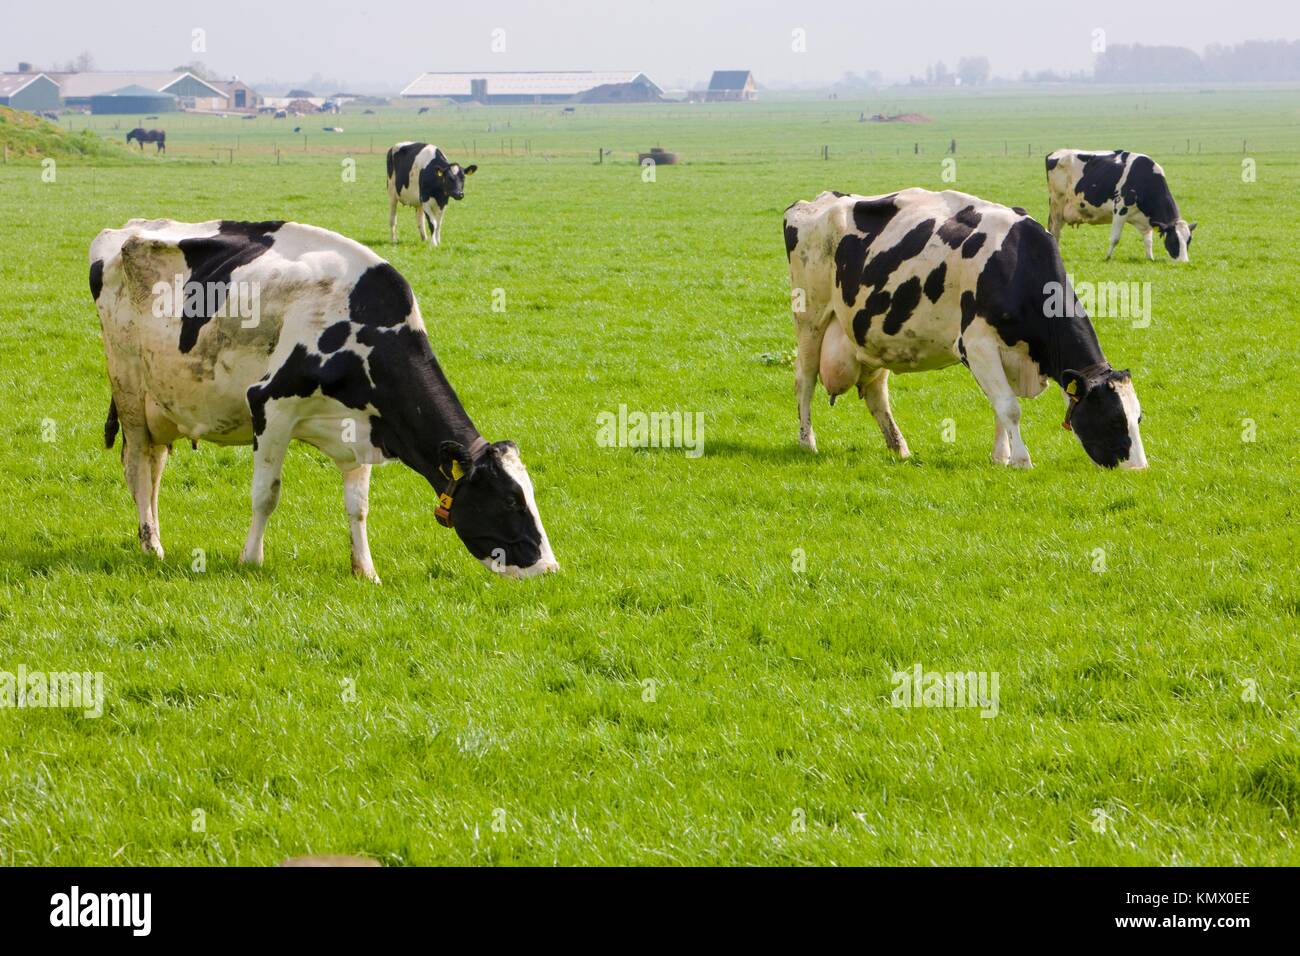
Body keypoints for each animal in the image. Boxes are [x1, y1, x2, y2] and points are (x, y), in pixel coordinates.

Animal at [90, 219, 558, 580]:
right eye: (509, 500)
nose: (549, 568)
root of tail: (126, 229)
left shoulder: (362, 428)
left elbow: (359, 508)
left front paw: (365, 570)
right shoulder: (270, 405)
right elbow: (266, 494)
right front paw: (250, 560)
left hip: (163, 405)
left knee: (154, 469)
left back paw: (153, 538)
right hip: (130, 390)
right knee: (137, 467)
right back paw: (151, 547)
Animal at [784, 188, 1147, 470]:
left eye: (1138, 418)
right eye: (1114, 419)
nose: (1140, 469)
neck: (1015, 262)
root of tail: (814, 201)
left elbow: (1001, 406)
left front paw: (1001, 458)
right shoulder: (977, 344)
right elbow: (1009, 406)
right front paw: (1021, 460)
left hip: (870, 336)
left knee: (876, 395)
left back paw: (899, 448)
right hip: (811, 320)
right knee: (805, 380)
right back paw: (807, 442)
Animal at [1046, 149, 1195, 262]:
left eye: (1188, 241)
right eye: (1174, 240)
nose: (1184, 262)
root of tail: (1056, 152)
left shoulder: (1145, 220)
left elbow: (1148, 240)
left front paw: (1150, 258)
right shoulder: (1120, 209)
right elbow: (1115, 238)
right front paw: (1107, 257)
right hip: (1057, 204)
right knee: (1054, 232)